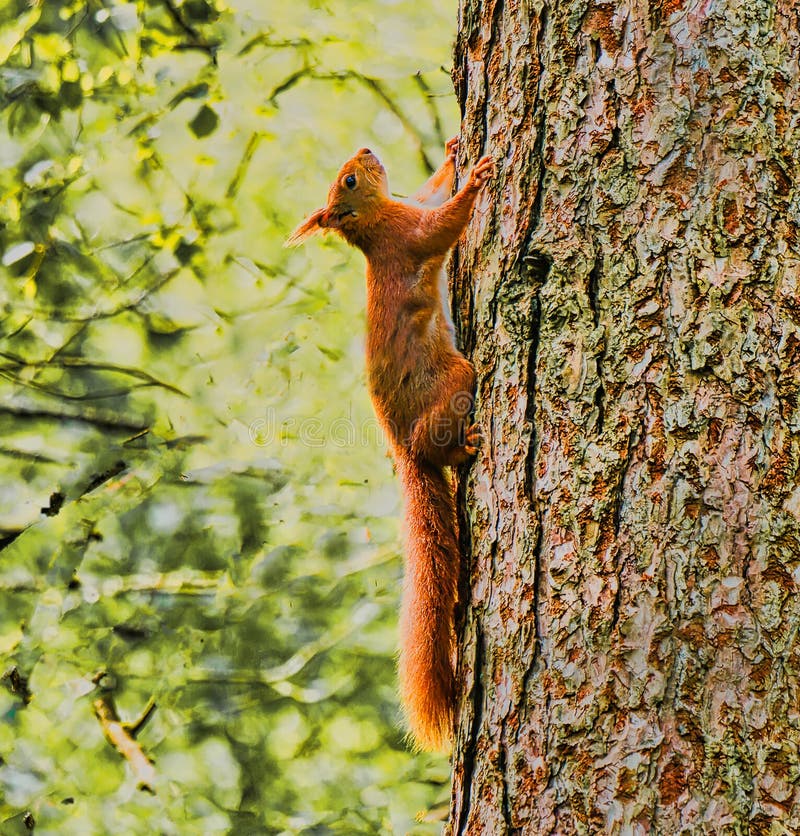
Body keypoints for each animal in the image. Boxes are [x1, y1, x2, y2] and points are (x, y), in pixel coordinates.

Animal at [287, 138, 494, 750]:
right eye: (351, 181)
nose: (364, 147)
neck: (376, 224)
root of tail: (403, 453)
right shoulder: (409, 234)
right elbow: (441, 226)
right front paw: (476, 178)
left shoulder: (410, 207)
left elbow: (430, 190)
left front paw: (453, 153)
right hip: (454, 381)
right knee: (439, 442)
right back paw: (462, 447)